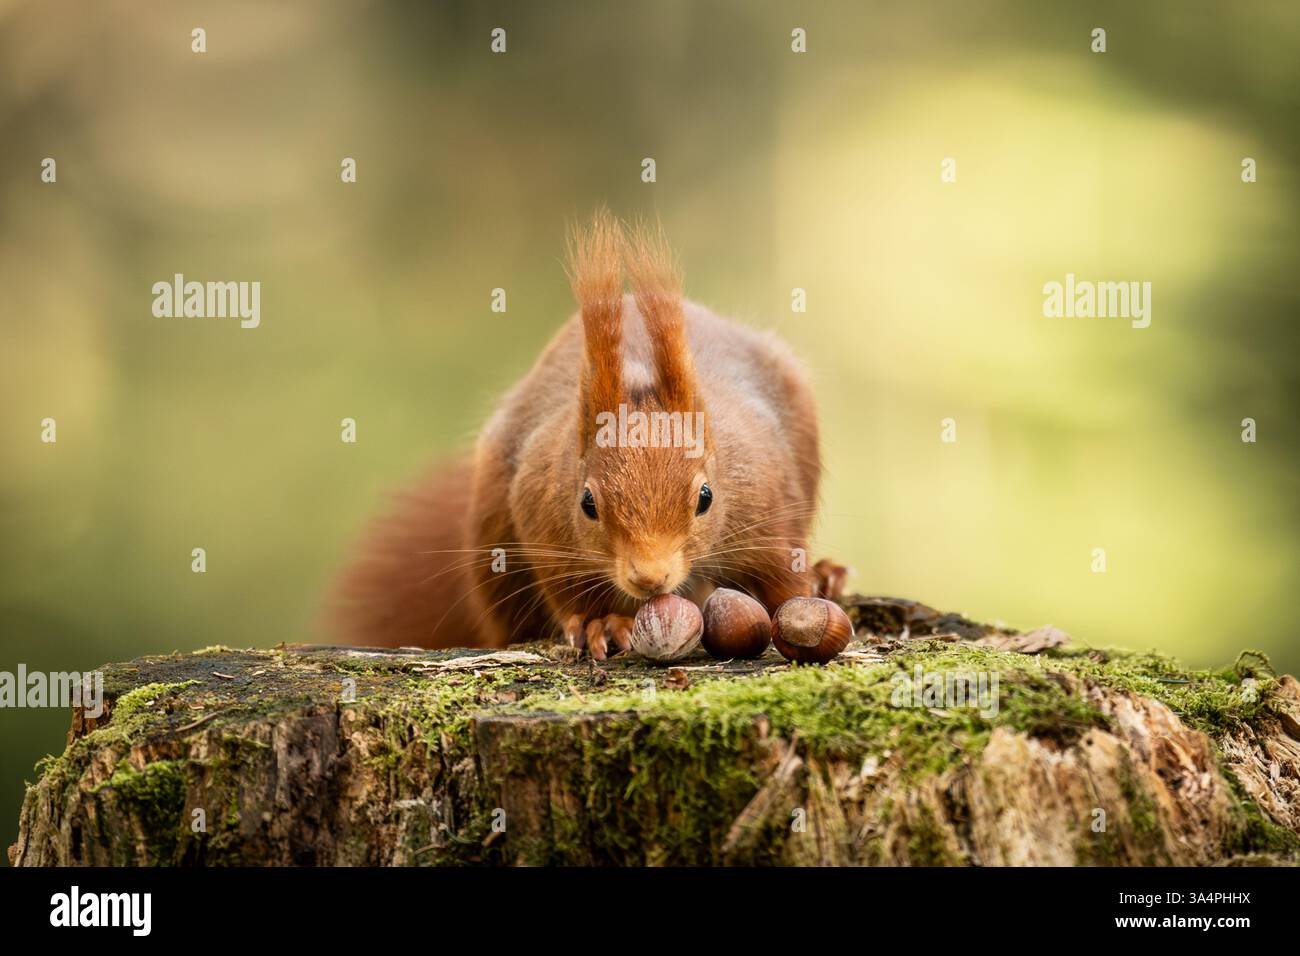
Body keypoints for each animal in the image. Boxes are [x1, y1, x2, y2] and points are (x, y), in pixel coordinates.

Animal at [333, 211, 846, 658]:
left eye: (706, 498)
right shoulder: (545, 518)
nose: (649, 578)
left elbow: (780, 568)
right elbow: (569, 588)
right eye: (587, 504)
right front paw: (600, 622)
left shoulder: (766, 498)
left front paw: (806, 596)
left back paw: (828, 575)